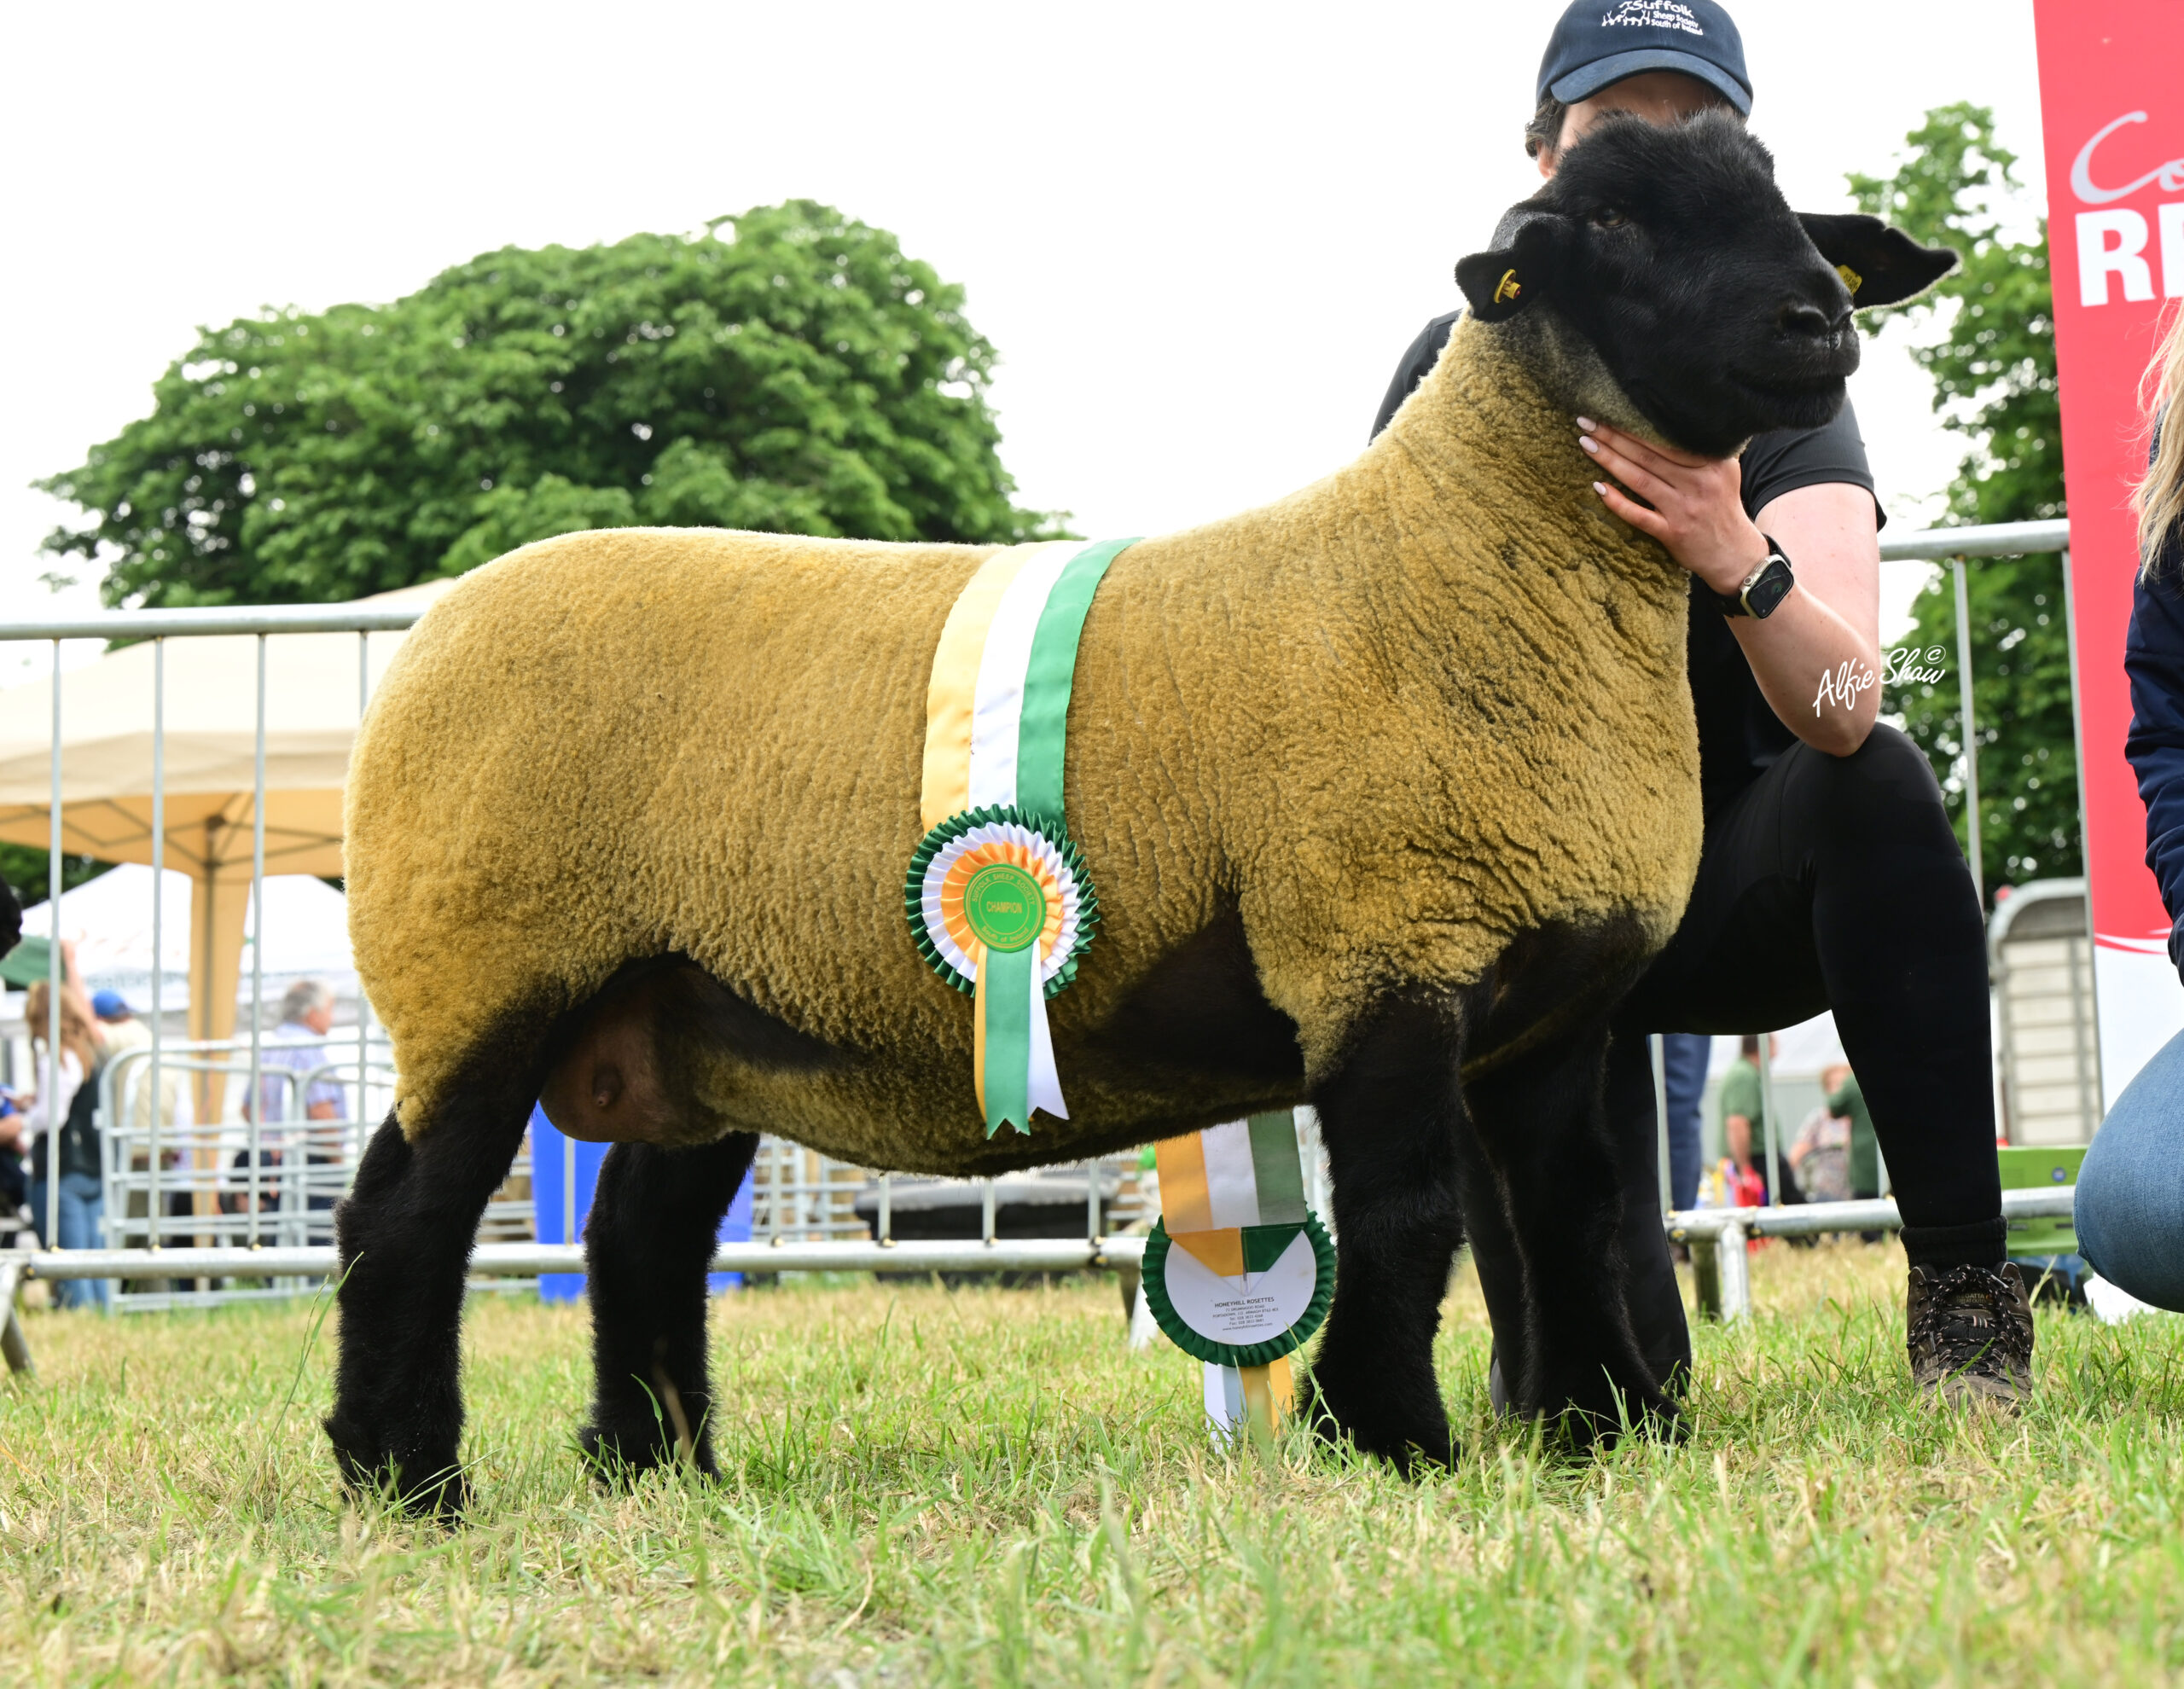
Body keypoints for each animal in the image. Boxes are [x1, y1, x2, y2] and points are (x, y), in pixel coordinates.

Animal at [328, 112, 1953, 1511]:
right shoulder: (1377, 947)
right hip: (481, 962)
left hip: (698, 1010)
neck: (1469, 556)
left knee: (637, 1234)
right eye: (1610, 222)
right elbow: (1414, 1212)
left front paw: (1593, 1430)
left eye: (1779, 200)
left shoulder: (1552, 1006)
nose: (1820, 322)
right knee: (404, 1213)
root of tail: (430, 630)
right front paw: (1394, 1439)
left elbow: (1573, 1212)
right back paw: (407, 1478)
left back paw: (656, 1465)